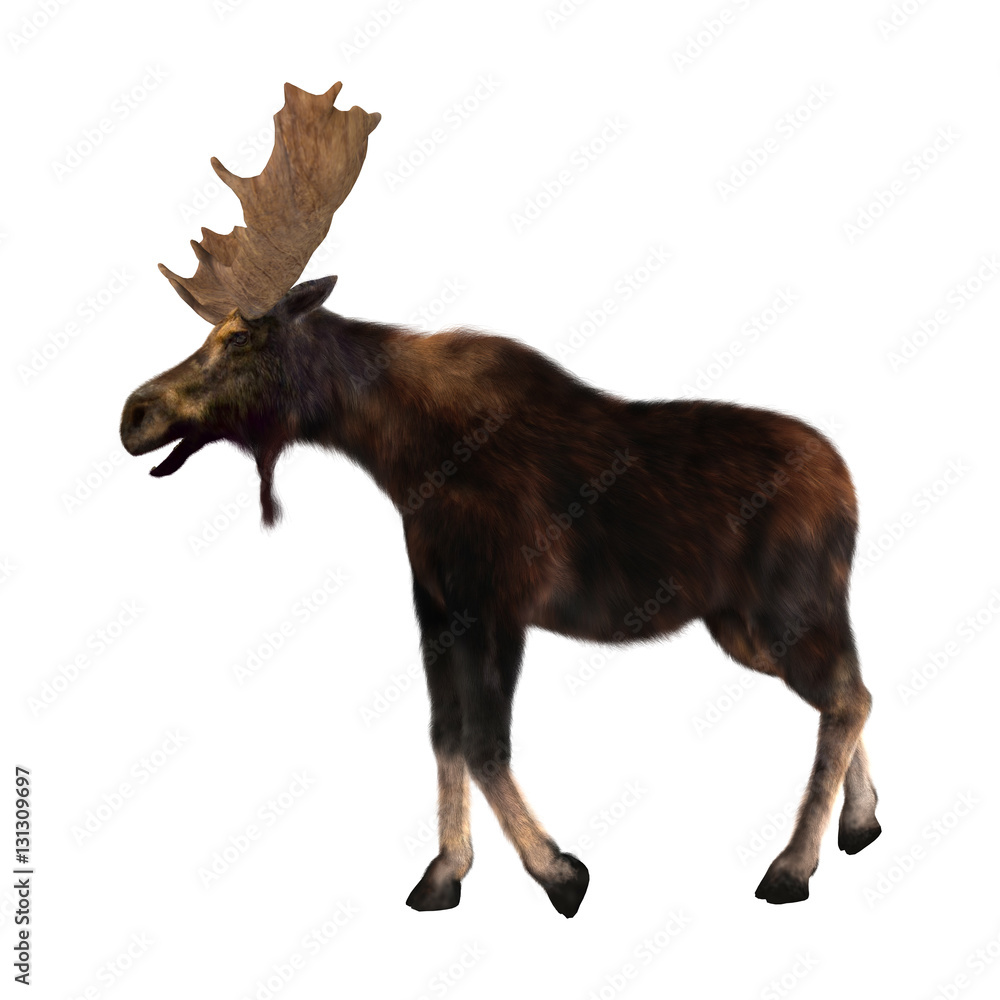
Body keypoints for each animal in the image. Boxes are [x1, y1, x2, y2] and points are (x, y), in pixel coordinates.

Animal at [119, 81, 882, 917]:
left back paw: (793, 865)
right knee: (850, 691)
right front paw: (446, 870)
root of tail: (850, 487)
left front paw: (559, 871)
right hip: (743, 624)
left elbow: (487, 744)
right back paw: (861, 822)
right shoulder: (436, 606)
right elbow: (444, 733)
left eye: (241, 338)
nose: (135, 415)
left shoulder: (497, 602)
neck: (400, 458)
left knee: (846, 697)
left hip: (787, 607)